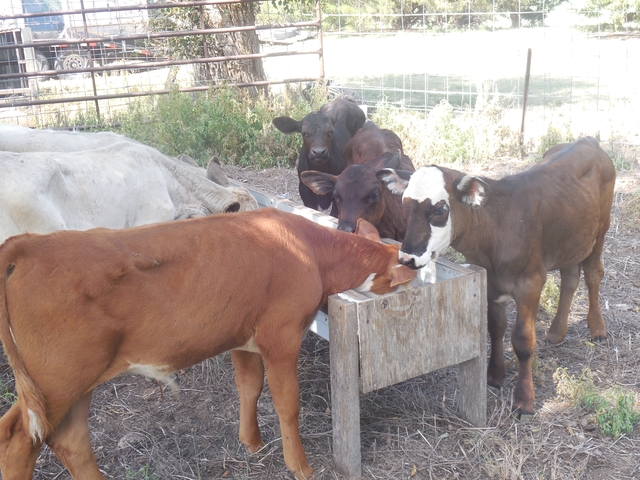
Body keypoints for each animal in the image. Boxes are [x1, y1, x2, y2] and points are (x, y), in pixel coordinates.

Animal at [0, 208, 417, 480]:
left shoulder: (243, 337)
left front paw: (251, 442)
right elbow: (287, 403)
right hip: (58, 378)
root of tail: (29, 245)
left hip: (70, 381)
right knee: (20, 440)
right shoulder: (280, 335)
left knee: (66, 438)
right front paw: (300, 466)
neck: (310, 250)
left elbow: (249, 386)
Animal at [377, 137, 616, 416]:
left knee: (593, 274)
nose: (407, 258)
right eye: (405, 205)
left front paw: (524, 398)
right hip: (570, 239)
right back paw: (557, 332)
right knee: (570, 278)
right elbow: (495, 328)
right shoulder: (491, 282)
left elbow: (522, 340)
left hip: (600, 231)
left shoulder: (531, 282)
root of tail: (587, 140)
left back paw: (597, 328)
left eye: (439, 210)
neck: (496, 227)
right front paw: (494, 374)